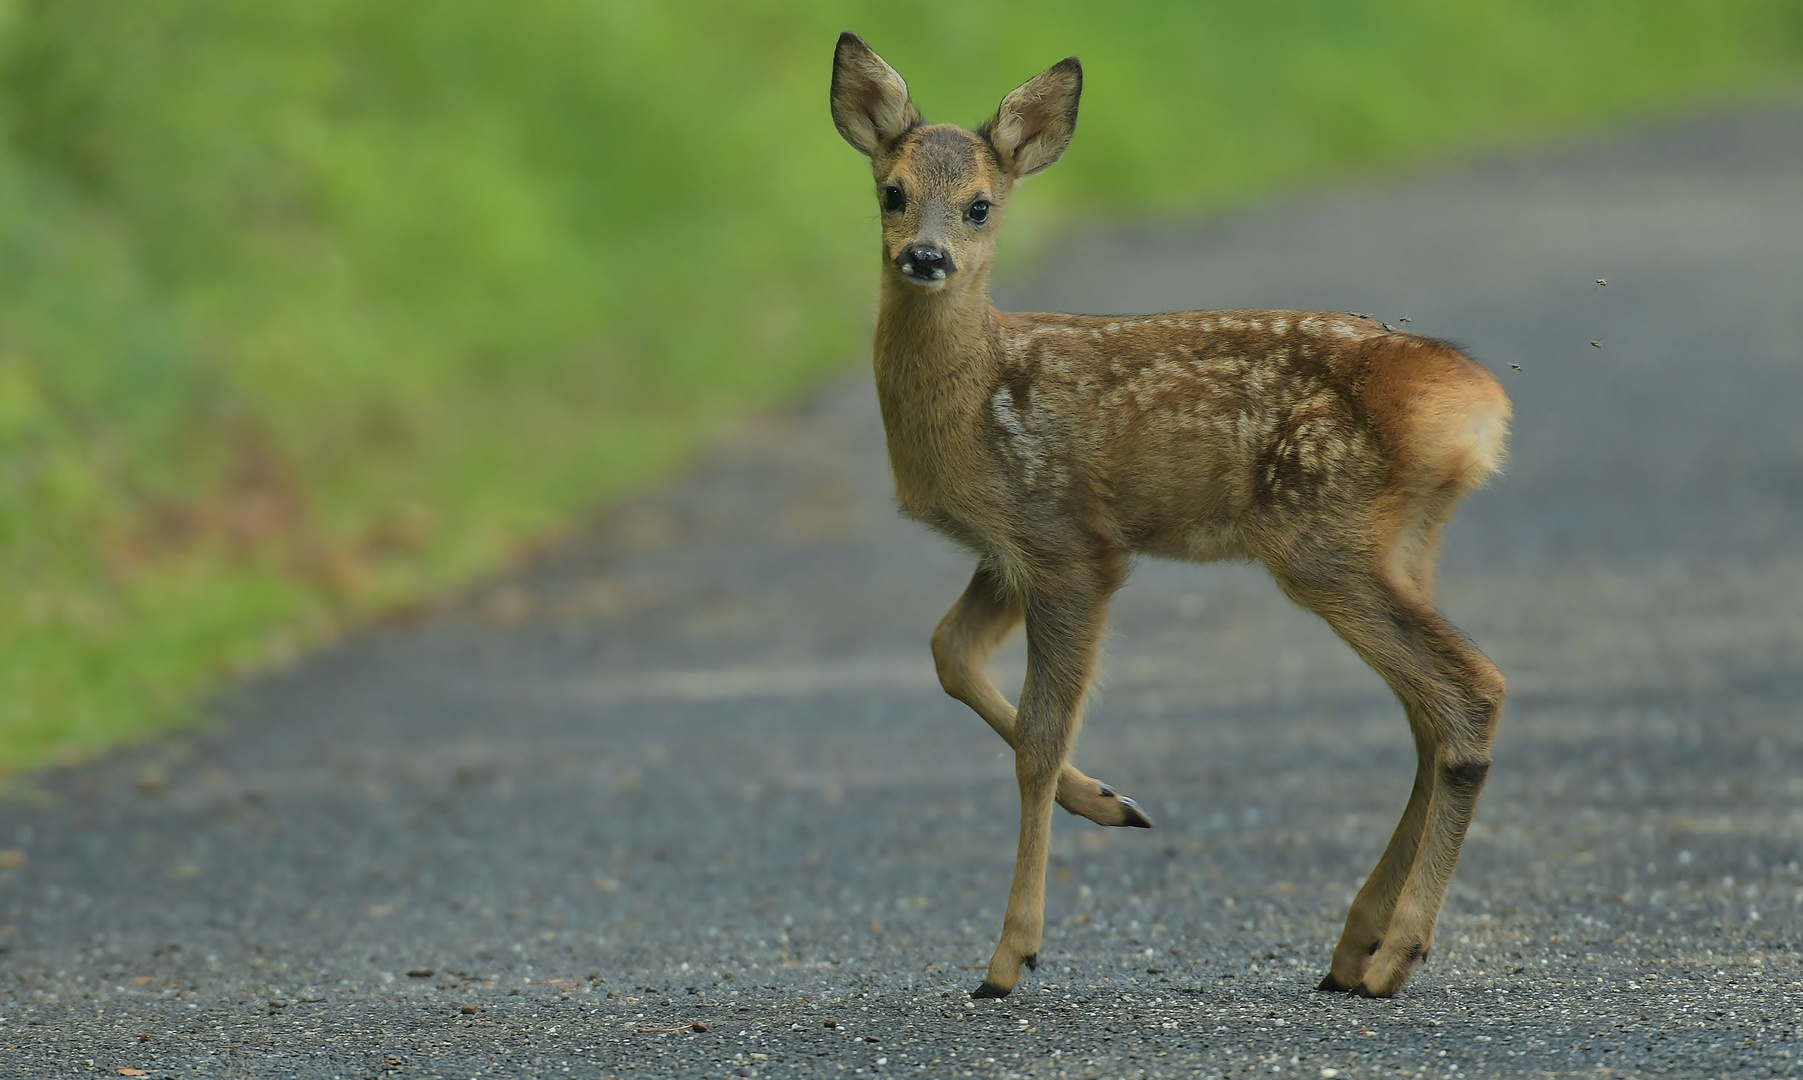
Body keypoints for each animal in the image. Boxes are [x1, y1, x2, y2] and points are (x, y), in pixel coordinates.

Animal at [836, 29, 1514, 1002]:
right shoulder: (1010, 551)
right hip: (1402, 541)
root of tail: (1475, 410)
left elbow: (1036, 740)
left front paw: (1010, 956)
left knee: (1468, 692)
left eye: (978, 207)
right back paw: (1354, 947)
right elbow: (947, 652)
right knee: (1429, 715)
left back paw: (1393, 956)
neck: (971, 401)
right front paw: (1112, 802)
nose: (923, 257)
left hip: (1321, 533)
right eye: (890, 192)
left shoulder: (1066, 538)